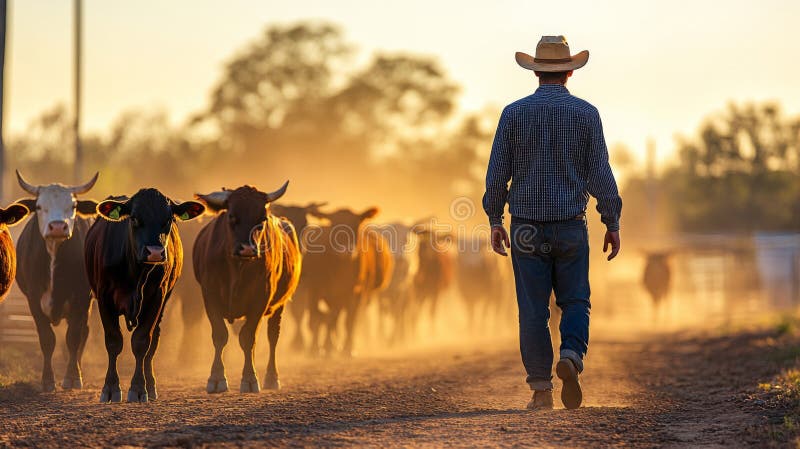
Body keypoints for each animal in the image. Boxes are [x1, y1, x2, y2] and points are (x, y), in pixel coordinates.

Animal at [15, 171, 99, 392]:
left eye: (73, 206)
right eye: (38, 206)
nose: (58, 227)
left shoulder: (81, 299)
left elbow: (73, 338)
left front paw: (72, 378)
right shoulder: (34, 300)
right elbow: (47, 339)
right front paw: (47, 380)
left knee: (83, 334)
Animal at [86, 188, 205, 403]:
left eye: (169, 219)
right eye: (134, 218)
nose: (155, 252)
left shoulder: (157, 297)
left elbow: (142, 342)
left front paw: (139, 388)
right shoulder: (104, 298)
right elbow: (113, 342)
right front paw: (110, 388)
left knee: (153, 340)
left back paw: (150, 384)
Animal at [194, 183, 302, 393]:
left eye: (262, 219)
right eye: (231, 216)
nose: (248, 249)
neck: (237, 267)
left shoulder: (261, 299)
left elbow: (248, 337)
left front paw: (250, 378)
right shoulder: (209, 296)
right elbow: (220, 335)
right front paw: (216, 378)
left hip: (280, 305)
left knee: (271, 336)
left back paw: (271, 377)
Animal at [303, 207, 393, 356]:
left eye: (355, 225)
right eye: (333, 225)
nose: (344, 251)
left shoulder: (357, 292)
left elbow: (349, 321)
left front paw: (347, 349)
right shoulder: (315, 290)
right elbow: (317, 319)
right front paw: (316, 349)